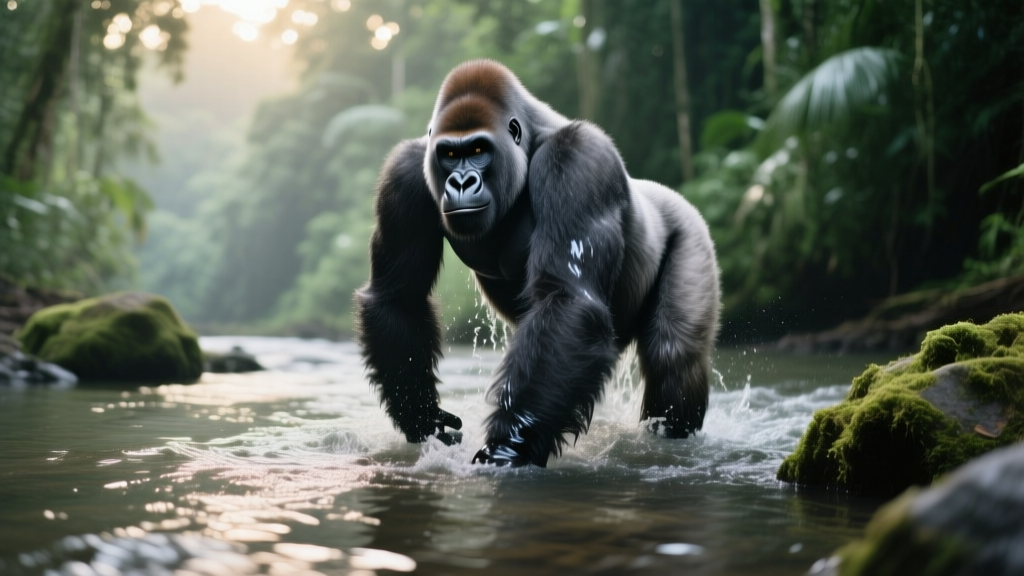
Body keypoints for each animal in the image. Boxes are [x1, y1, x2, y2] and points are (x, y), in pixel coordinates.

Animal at [355, 60, 720, 467]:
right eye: (449, 154)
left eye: (479, 149)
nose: (462, 182)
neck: (527, 142)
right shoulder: (404, 174)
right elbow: (398, 298)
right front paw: (420, 415)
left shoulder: (578, 159)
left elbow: (569, 300)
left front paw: (509, 446)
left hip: (691, 228)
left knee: (672, 356)